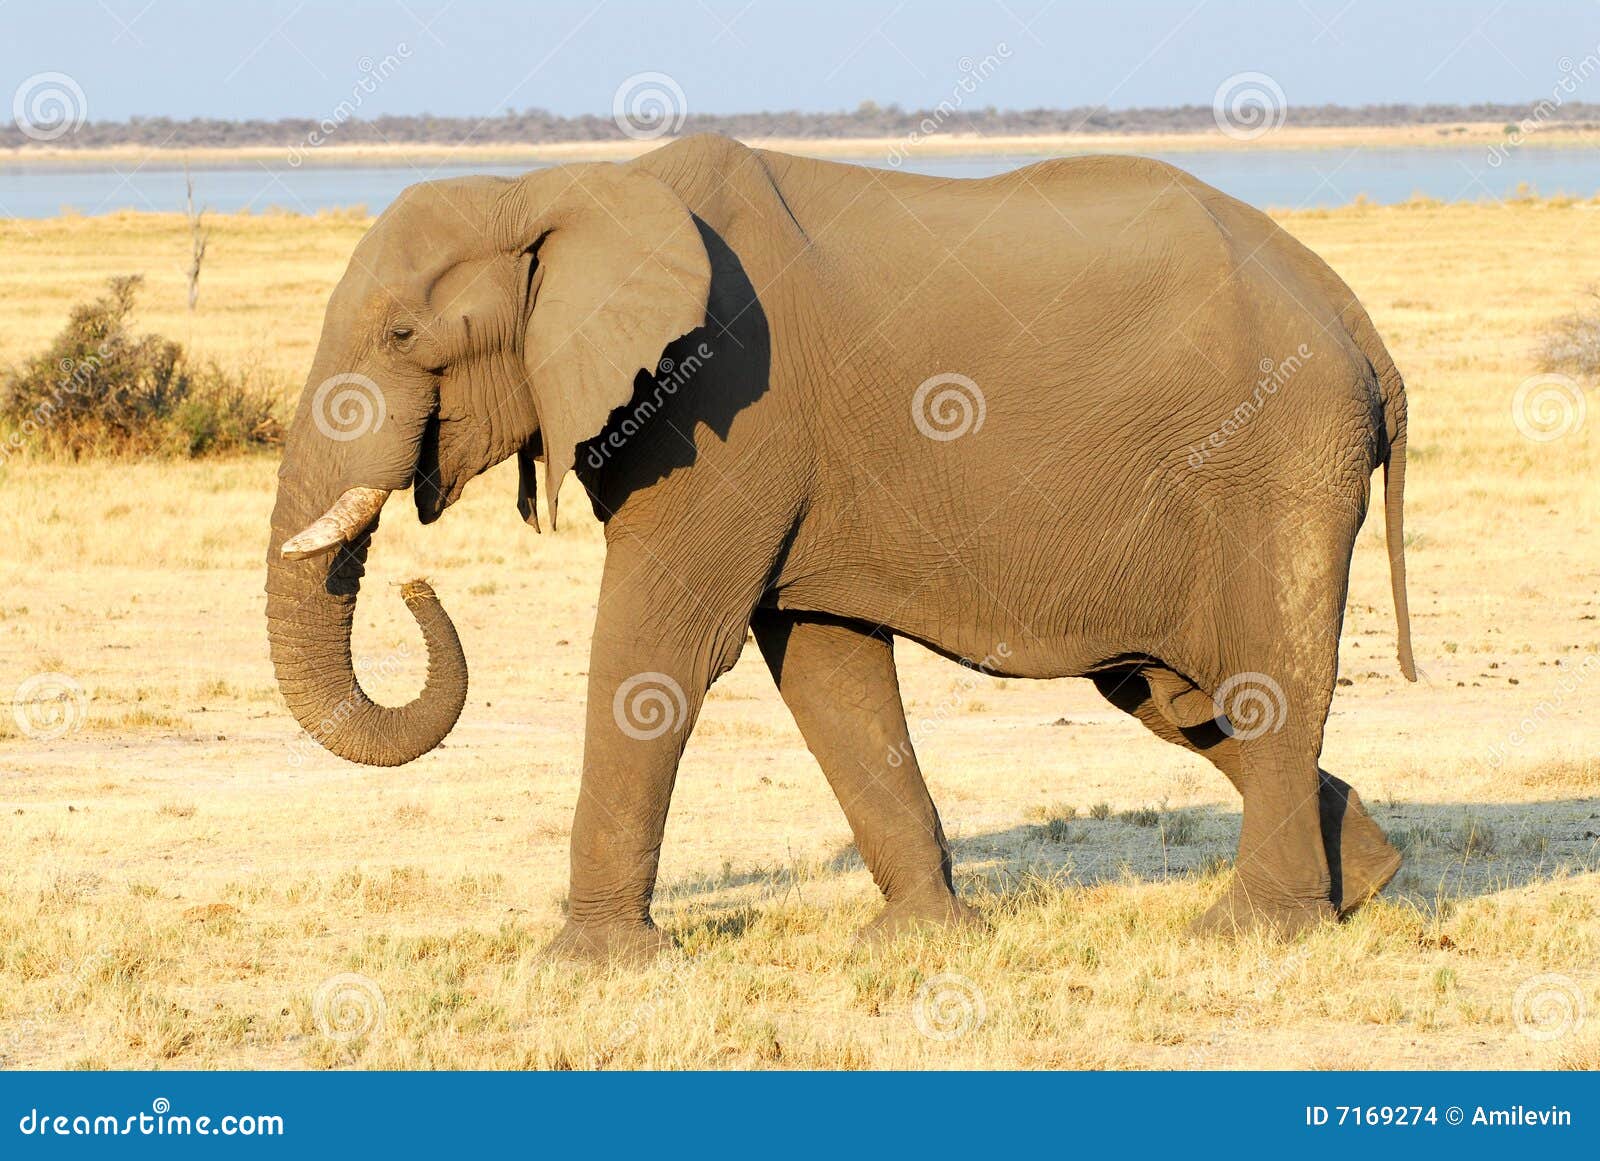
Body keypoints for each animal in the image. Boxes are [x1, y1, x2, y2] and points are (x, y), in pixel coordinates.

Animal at [265, 133, 1415, 961]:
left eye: (403, 337)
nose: (418, 583)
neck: (556, 187)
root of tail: (1362, 327)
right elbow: (825, 667)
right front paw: (922, 942)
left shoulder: (723, 405)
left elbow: (662, 646)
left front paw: (589, 966)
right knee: (1181, 698)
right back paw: (1368, 882)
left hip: (1279, 453)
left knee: (1262, 679)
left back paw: (1253, 931)